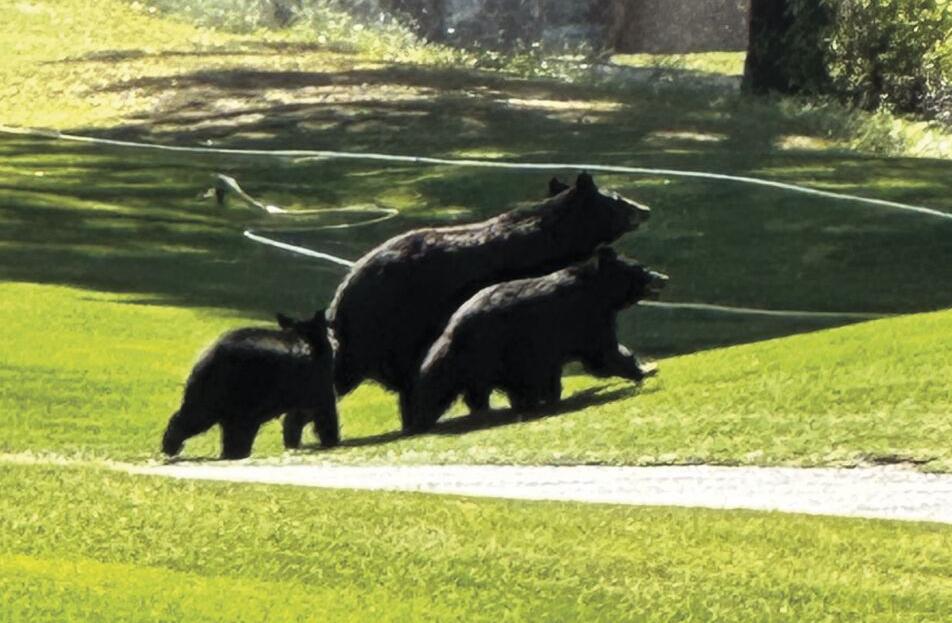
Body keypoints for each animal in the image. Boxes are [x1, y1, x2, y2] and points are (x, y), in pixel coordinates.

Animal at [161, 310, 338, 460]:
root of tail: (211, 356)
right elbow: (324, 415)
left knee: (196, 417)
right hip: (242, 394)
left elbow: (295, 419)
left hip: (209, 393)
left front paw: (292, 442)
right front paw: (330, 441)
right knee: (233, 427)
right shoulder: (318, 388)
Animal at [406, 247, 668, 432]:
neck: (601, 294)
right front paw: (645, 369)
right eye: (642, 269)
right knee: (477, 387)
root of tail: (453, 326)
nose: (663, 277)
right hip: (494, 348)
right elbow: (603, 354)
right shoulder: (582, 319)